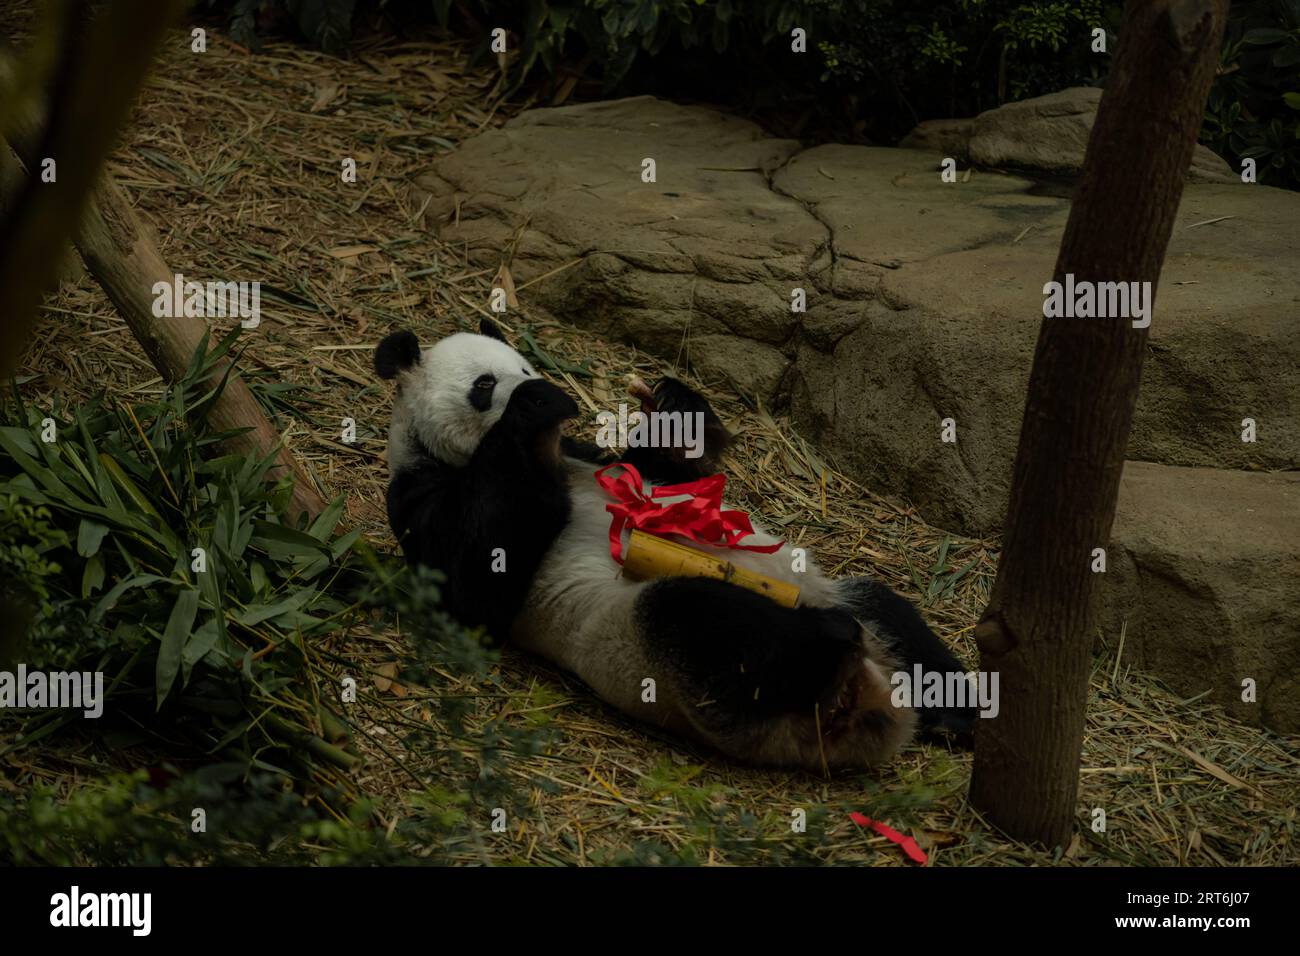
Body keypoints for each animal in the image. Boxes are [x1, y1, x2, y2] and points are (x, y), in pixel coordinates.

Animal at [376, 319, 975, 771]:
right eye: (482, 385)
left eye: (521, 366)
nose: (534, 379)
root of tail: (870, 711)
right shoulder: (423, 491)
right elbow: (477, 582)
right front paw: (537, 406)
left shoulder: (597, 459)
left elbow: (671, 472)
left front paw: (665, 402)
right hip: (677, 664)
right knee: (700, 619)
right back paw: (830, 639)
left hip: (822, 590)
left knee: (890, 613)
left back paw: (958, 713)